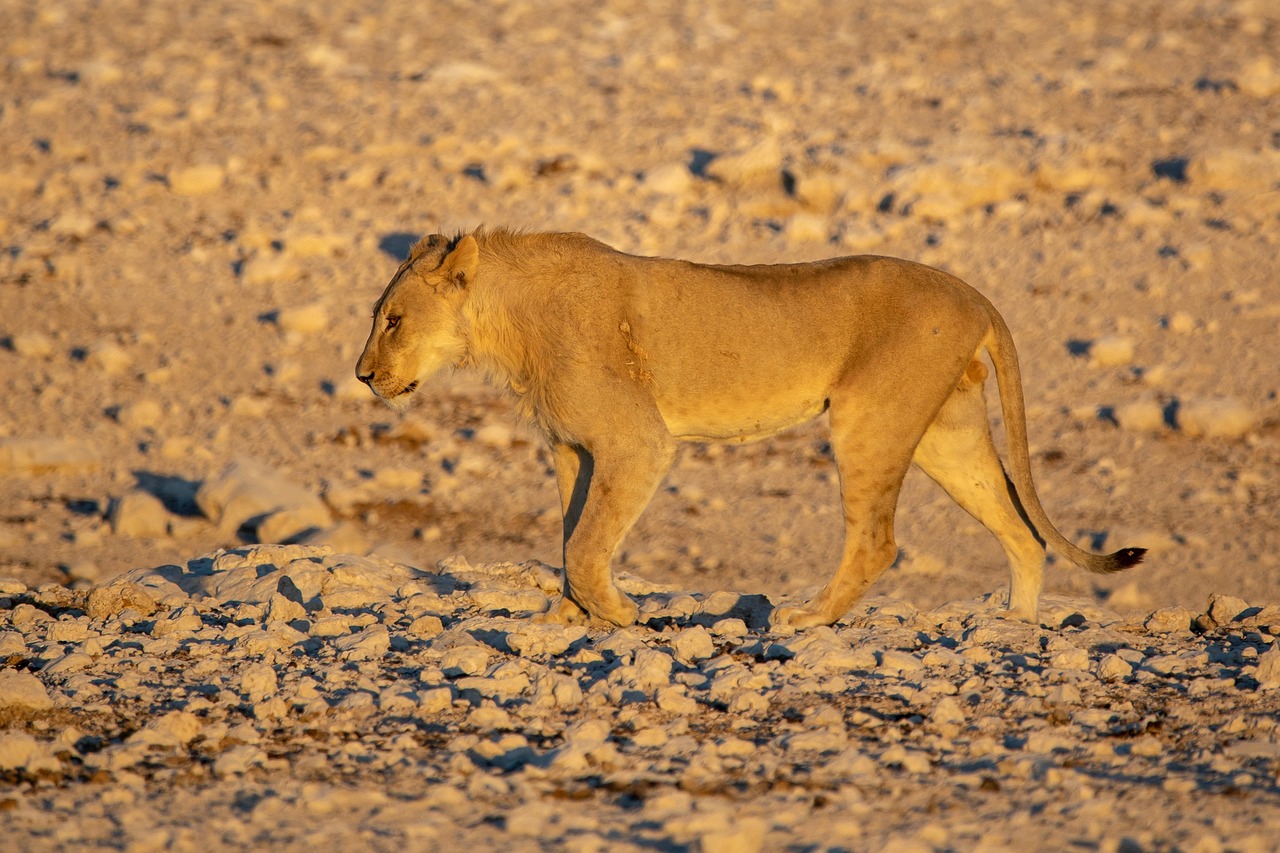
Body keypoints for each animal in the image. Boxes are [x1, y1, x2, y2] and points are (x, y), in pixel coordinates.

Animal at [356, 229, 1143, 629]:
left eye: (393, 320)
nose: (362, 375)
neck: (507, 326)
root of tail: (973, 291)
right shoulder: (571, 448)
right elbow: (572, 534)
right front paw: (572, 616)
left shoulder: (637, 440)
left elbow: (584, 544)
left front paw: (620, 612)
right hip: (947, 433)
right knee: (1021, 529)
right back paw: (1017, 625)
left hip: (868, 419)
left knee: (878, 540)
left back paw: (805, 620)